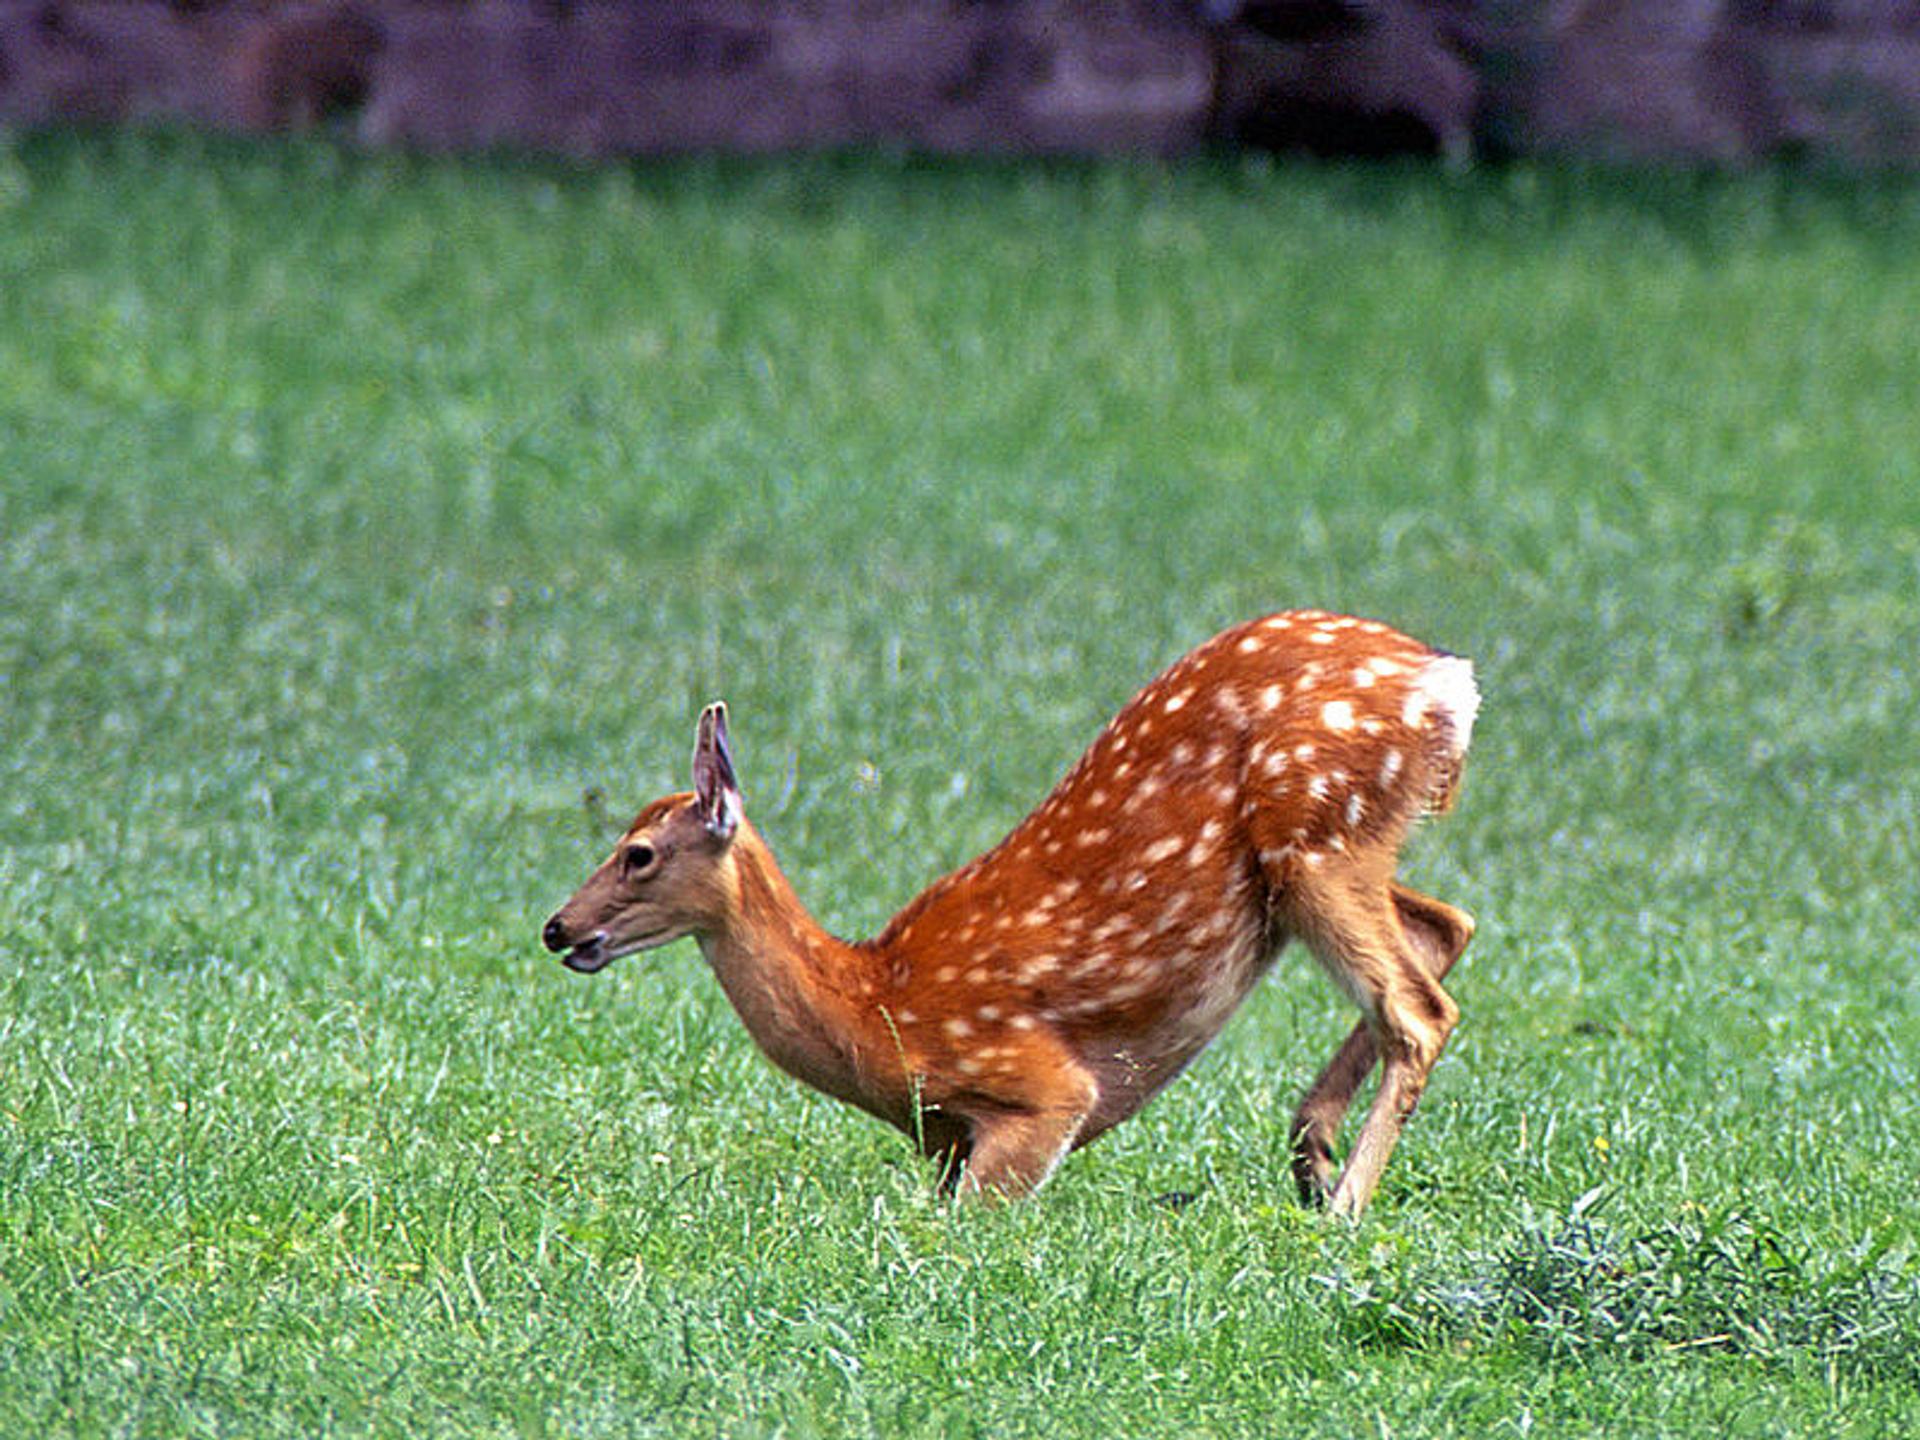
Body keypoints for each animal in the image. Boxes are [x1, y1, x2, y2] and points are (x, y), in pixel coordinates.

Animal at [541, 610, 1479, 1217]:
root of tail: (1448, 682)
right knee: (1445, 925)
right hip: (1326, 861)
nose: (558, 928)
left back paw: (1344, 1205)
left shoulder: (1037, 1091)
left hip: (1318, 833)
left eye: (638, 853)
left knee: (1418, 1007)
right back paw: (1310, 1159)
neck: (878, 1011)